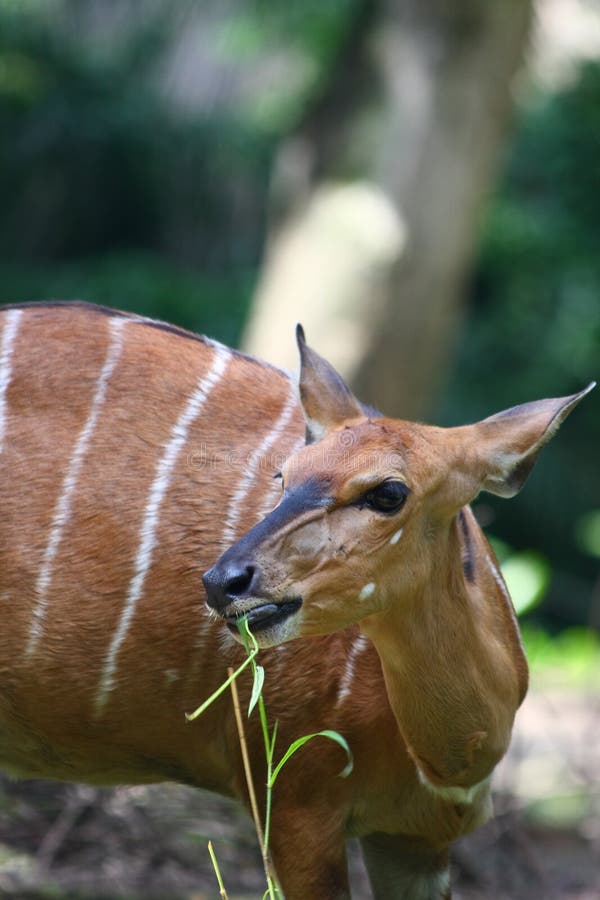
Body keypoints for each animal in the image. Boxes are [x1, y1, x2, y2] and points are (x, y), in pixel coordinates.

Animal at [0, 301, 593, 899]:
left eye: (389, 491)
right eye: (284, 475)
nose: (222, 581)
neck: (453, 757)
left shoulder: (416, 840)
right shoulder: (293, 801)